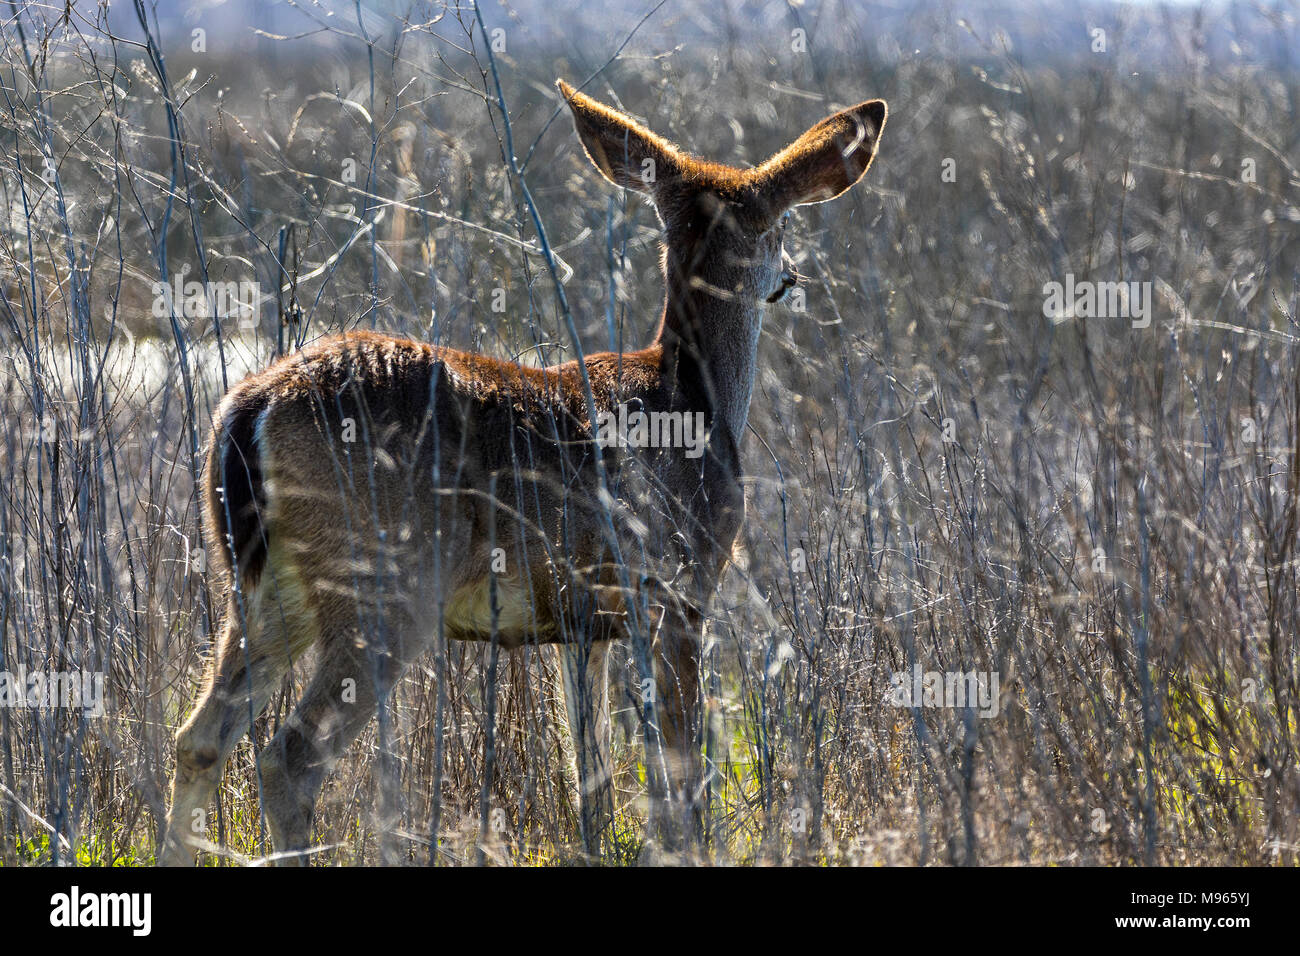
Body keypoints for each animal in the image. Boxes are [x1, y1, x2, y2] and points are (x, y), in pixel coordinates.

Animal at [159, 78, 886, 865]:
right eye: (779, 226)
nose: (791, 277)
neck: (696, 397)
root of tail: (249, 407)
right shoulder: (678, 587)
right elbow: (681, 777)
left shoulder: (584, 621)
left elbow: (592, 773)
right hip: (385, 585)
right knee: (288, 758)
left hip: (262, 588)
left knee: (197, 740)